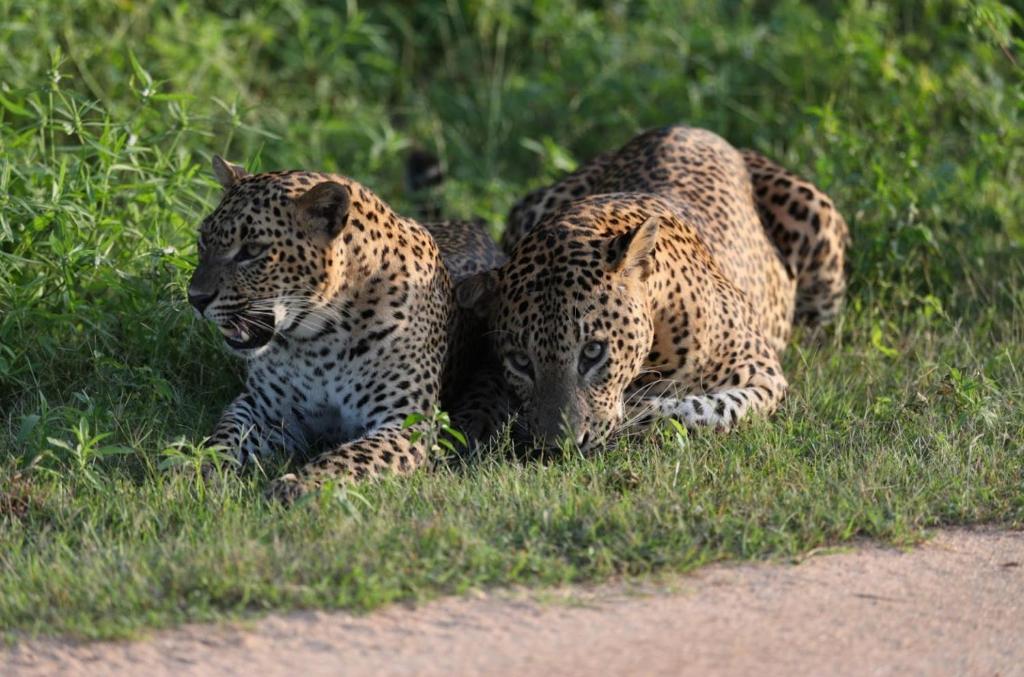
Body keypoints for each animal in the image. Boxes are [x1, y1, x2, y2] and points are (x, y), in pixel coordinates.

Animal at [188, 156, 502, 501]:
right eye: (203, 240)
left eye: (253, 250)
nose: (195, 298)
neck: (318, 340)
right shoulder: (263, 407)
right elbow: (226, 435)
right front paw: (193, 468)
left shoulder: (405, 422)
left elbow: (349, 457)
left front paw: (297, 486)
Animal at [457, 125, 849, 452]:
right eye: (522, 361)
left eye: (593, 352)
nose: (560, 446)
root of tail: (687, 127)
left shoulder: (763, 373)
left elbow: (705, 408)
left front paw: (637, 413)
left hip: (818, 217)